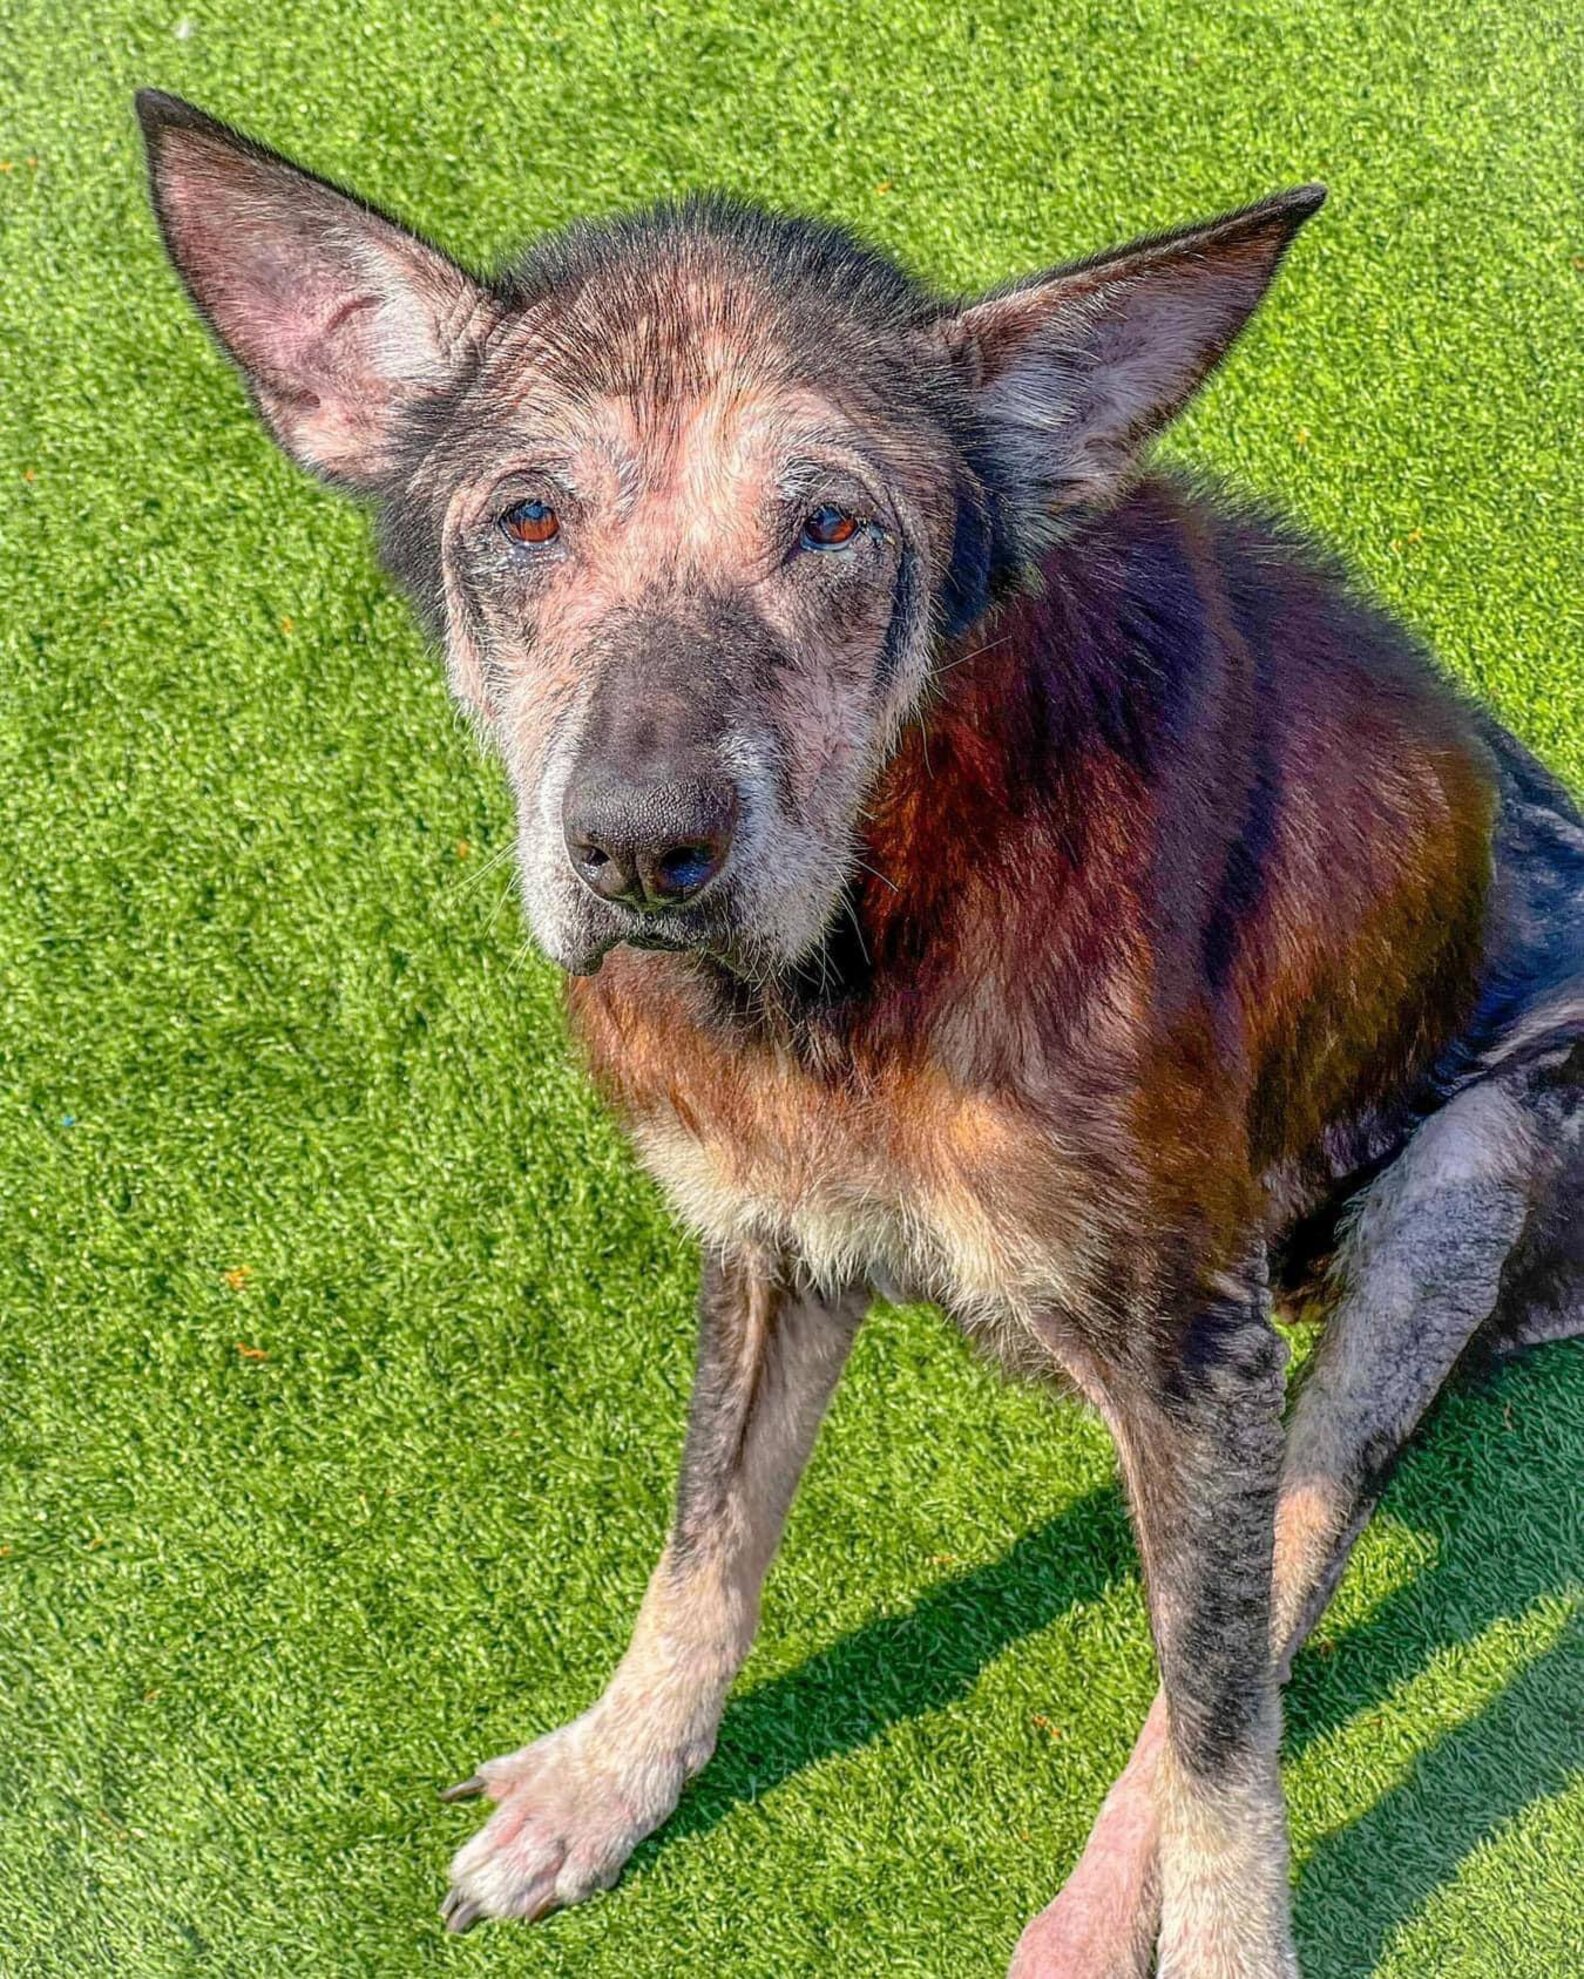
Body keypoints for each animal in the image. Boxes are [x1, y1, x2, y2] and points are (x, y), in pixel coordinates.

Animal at [138, 90, 1583, 1976]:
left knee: (1271, 1588)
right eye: (525, 517)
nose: (639, 848)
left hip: (1465, 1169)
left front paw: (1215, 1928)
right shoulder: (759, 1233)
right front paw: (610, 1774)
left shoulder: (1191, 1343)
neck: (860, 953)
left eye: (831, 527)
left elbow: (1224, 1736)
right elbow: (703, 1540)